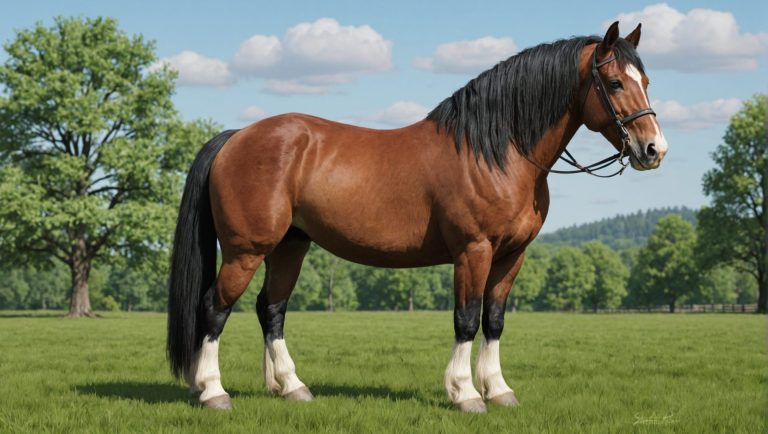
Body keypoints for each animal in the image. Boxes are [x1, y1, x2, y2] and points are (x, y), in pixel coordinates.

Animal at [166, 21, 667, 413]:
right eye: (616, 83)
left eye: (646, 80)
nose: (654, 149)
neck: (495, 150)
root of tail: (237, 136)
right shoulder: (473, 251)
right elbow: (466, 319)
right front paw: (466, 394)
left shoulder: (512, 257)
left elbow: (494, 320)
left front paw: (499, 390)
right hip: (246, 250)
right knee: (215, 308)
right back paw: (212, 392)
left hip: (289, 246)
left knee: (271, 310)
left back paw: (290, 387)